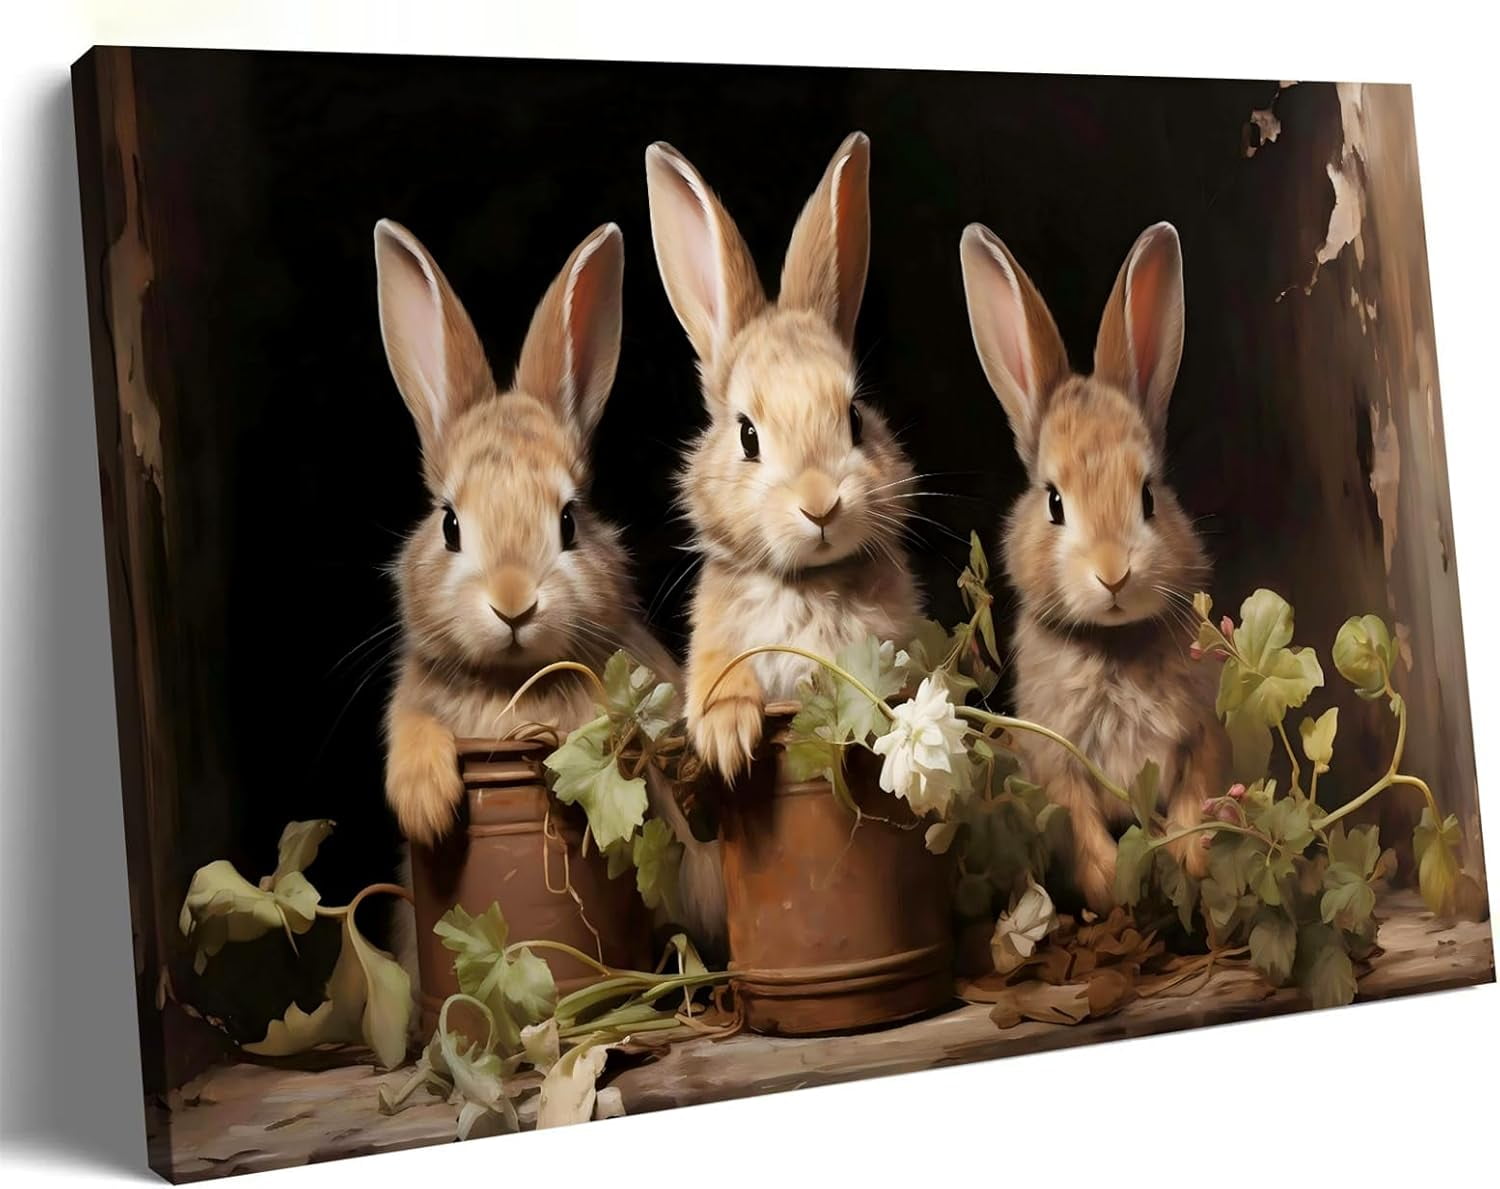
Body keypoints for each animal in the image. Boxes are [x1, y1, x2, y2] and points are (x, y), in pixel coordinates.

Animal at [374, 218, 726, 955]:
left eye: (568, 521)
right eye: (450, 524)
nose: (513, 603)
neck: (515, 681)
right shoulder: (413, 700)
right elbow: (412, 729)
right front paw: (426, 804)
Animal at [645, 131, 921, 782]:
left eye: (855, 418)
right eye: (747, 436)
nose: (820, 505)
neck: (807, 583)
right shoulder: (717, 639)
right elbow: (720, 676)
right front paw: (724, 740)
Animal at [959, 219, 1228, 913]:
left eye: (1149, 496)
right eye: (1054, 501)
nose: (1112, 573)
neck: (1113, 644)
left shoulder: (1201, 733)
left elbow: (1196, 791)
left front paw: (1189, 856)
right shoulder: (1053, 754)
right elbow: (1074, 814)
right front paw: (1110, 885)